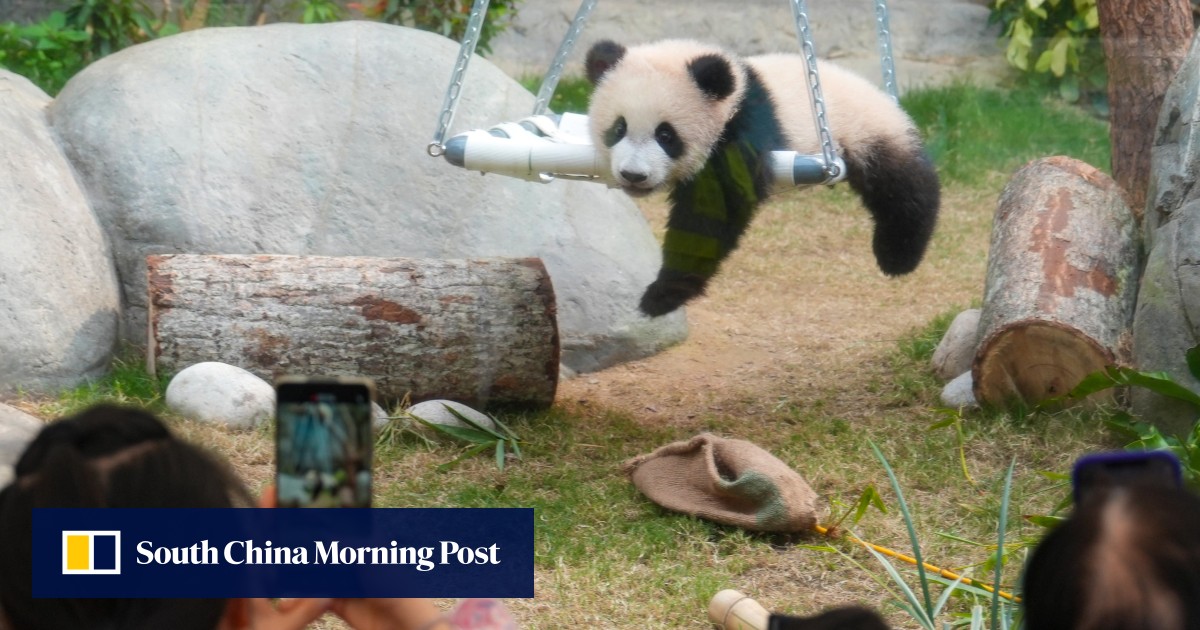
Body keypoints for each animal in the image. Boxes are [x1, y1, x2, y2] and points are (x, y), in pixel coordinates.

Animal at [584, 39, 940, 317]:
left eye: (666, 135)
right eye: (618, 128)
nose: (633, 175)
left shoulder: (744, 128)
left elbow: (714, 213)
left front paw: (663, 294)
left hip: (867, 128)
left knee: (904, 186)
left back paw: (898, 256)